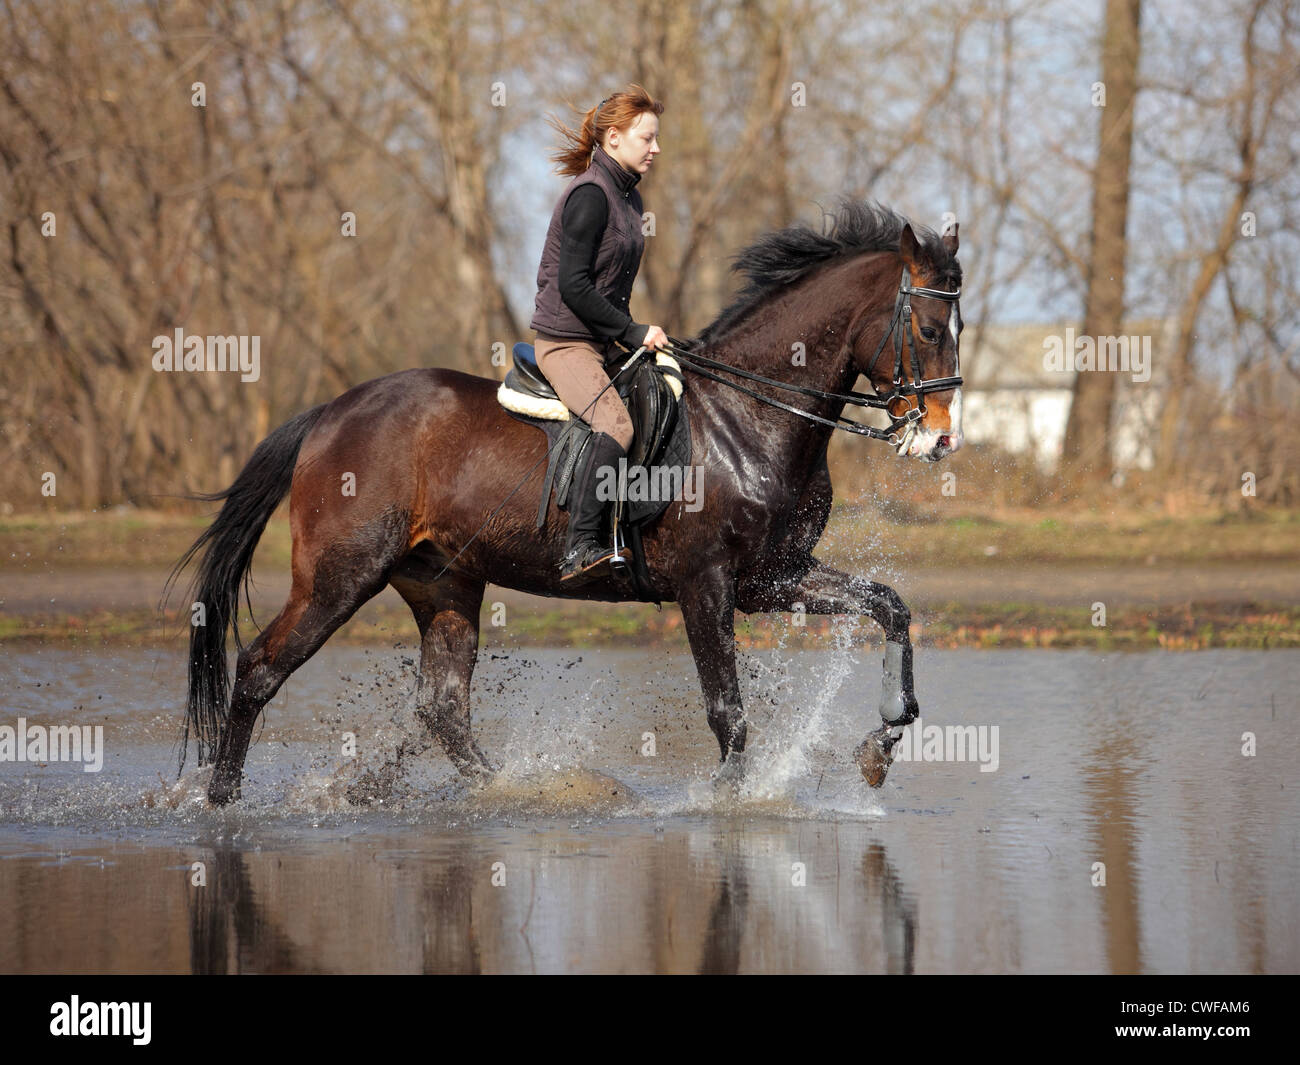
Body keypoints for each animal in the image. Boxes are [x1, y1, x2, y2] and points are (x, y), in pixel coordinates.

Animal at [168, 200, 964, 805]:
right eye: (929, 329)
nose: (941, 439)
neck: (752, 414)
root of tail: (329, 414)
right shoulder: (706, 583)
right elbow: (728, 710)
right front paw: (729, 802)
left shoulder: (772, 577)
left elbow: (890, 606)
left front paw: (881, 743)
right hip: (340, 576)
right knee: (261, 669)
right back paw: (222, 800)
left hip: (443, 583)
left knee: (442, 708)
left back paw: (512, 791)